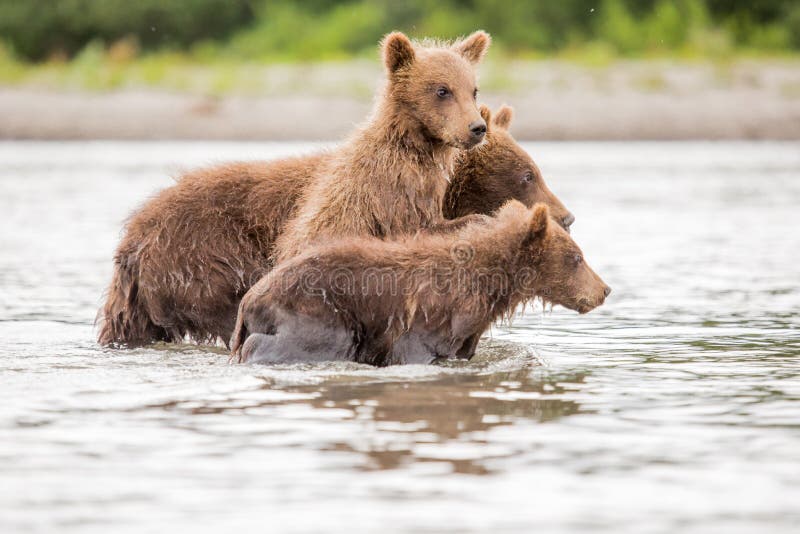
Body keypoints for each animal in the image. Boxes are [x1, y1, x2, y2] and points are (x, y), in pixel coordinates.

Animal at [230, 201, 610, 366]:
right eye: (577, 257)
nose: (604, 290)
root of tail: (248, 301)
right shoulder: (429, 319)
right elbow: (416, 351)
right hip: (313, 310)